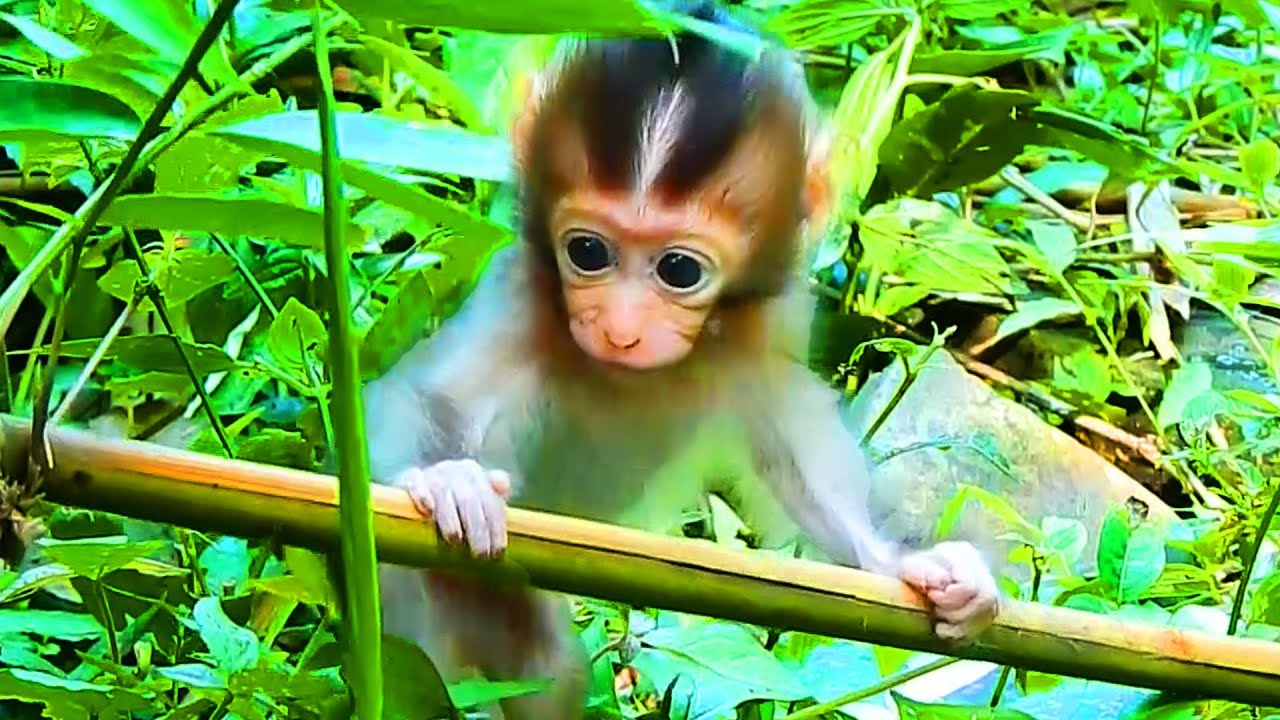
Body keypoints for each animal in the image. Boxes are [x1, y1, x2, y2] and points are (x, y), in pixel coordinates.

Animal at [361, 4, 1000, 718]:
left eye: (678, 269)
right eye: (587, 252)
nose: (621, 330)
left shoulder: (769, 326)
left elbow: (799, 465)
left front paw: (917, 566)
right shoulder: (520, 296)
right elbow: (413, 397)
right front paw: (447, 481)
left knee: (549, 674)